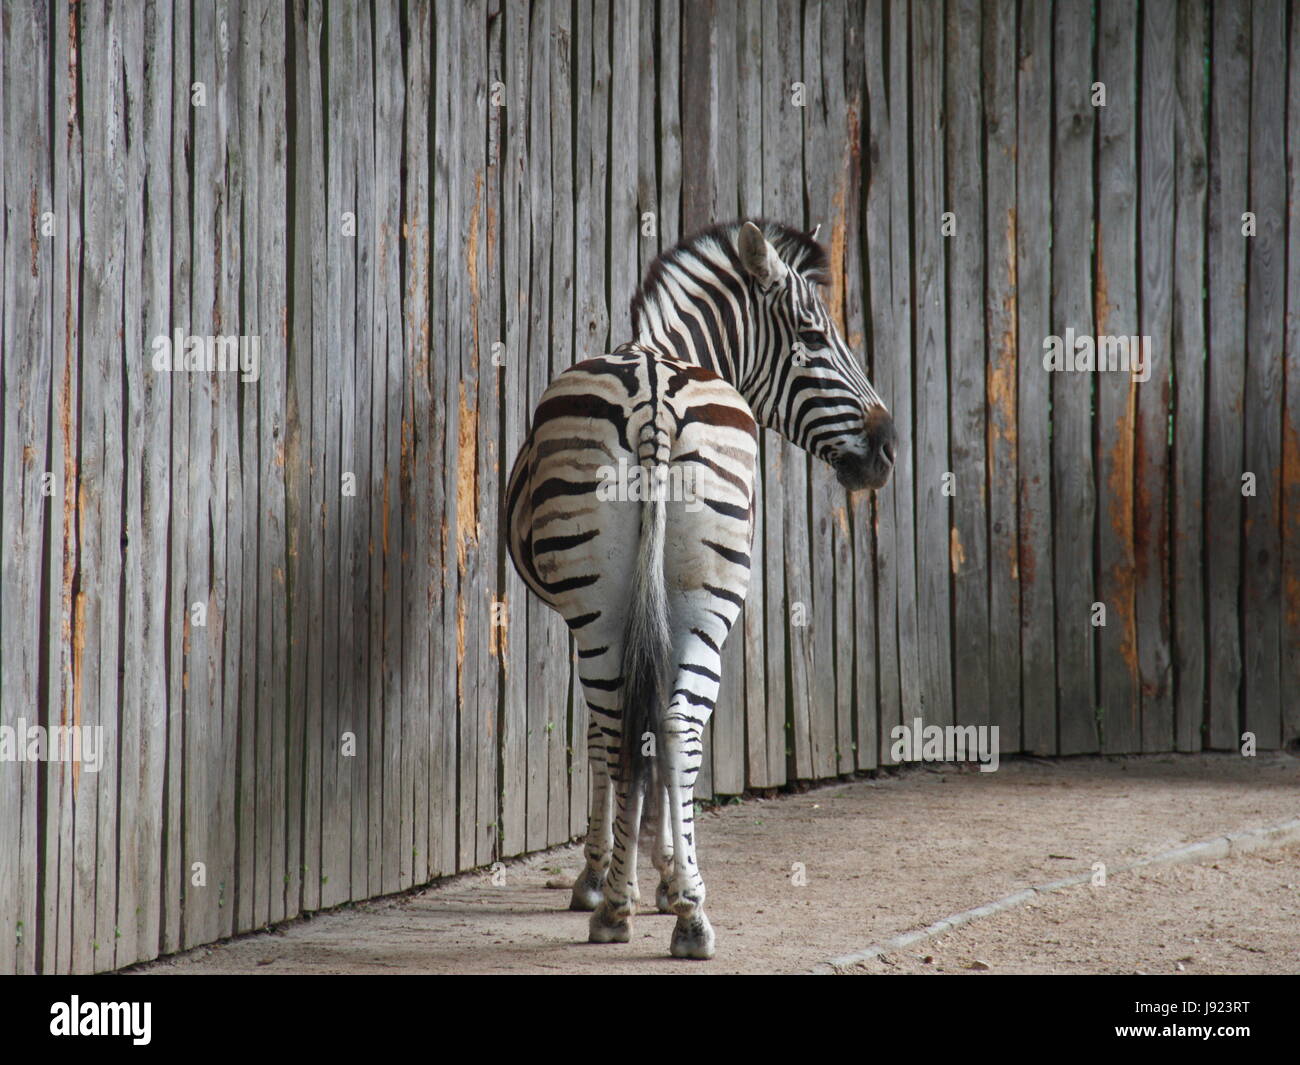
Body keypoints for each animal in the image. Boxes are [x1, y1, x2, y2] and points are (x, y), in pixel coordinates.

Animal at [505, 219, 896, 958]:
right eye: (813, 336)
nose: (888, 449)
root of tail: (653, 389)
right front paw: (648, 874)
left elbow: (613, 740)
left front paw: (618, 875)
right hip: (693, 602)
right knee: (671, 724)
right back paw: (677, 912)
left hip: (612, 609)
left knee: (631, 726)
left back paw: (627, 906)